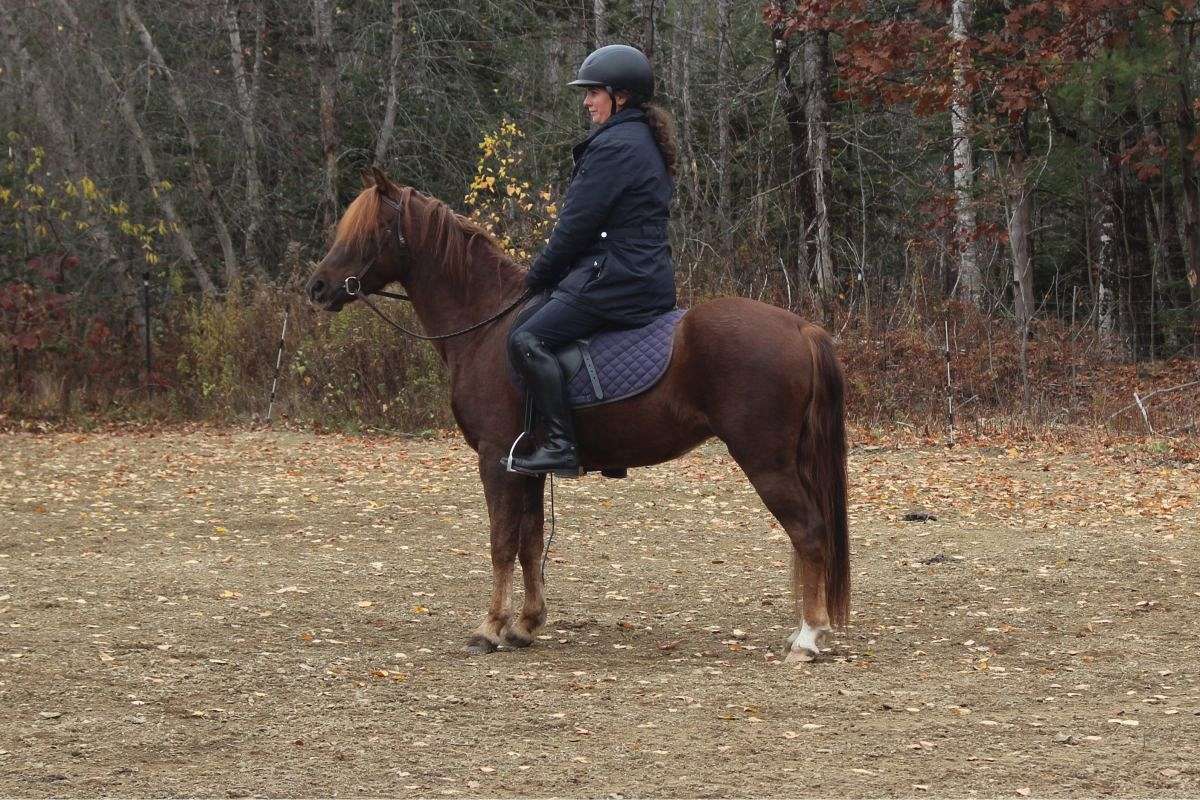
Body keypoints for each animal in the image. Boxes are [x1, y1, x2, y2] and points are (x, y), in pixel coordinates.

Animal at [305, 168, 850, 663]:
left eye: (368, 232)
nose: (318, 287)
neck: (486, 327)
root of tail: (801, 328)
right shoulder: (524, 466)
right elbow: (529, 542)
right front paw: (525, 625)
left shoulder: (494, 459)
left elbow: (501, 542)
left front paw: (489, 627)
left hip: (765, 461)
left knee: (808, 531)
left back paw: (807, 639)